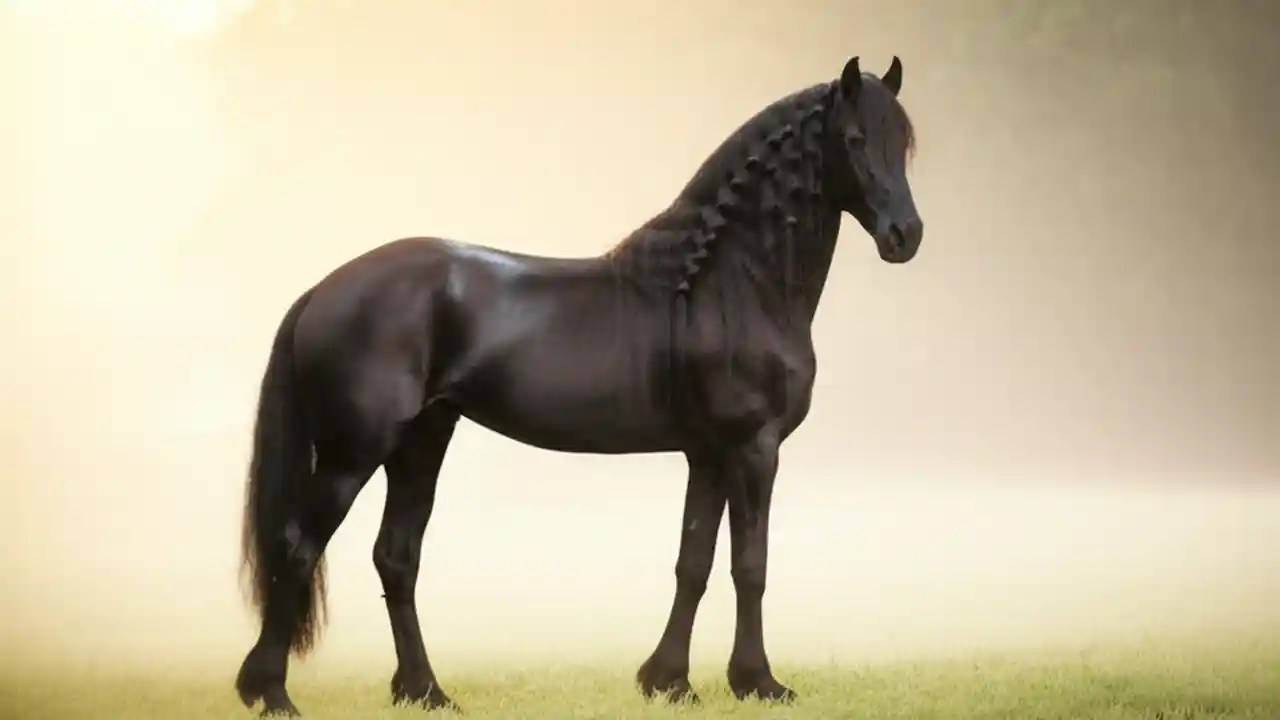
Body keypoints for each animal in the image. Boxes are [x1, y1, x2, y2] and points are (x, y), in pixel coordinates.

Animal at [234, 54, 923, 716]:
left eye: (905, 143)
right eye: (856, 139)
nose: (905, 235)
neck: (726, 286)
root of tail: (323, 289)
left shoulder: (707, 454)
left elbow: (694, 562)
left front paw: (669, 682)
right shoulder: (755, 447)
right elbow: (749, 565)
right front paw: (757, 682)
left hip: (421, 442)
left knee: (396, 558)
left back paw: (424, 691)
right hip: (353, 455)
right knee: (298, 549)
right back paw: (272, 694)